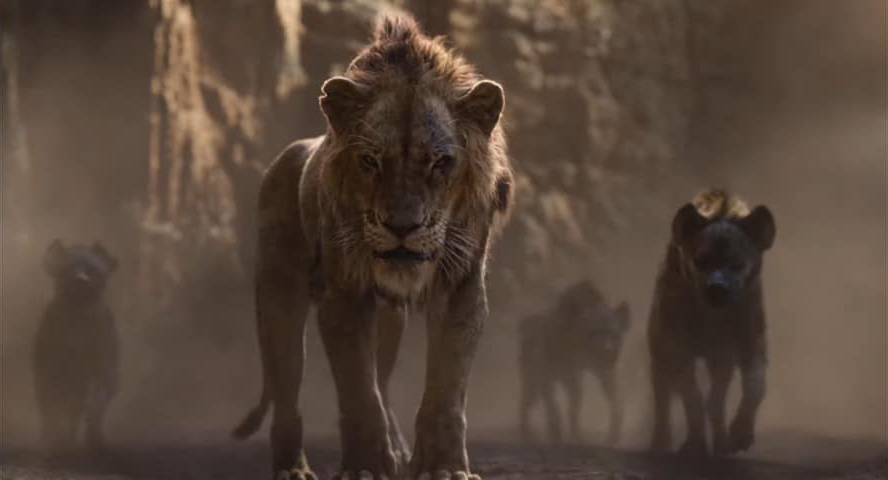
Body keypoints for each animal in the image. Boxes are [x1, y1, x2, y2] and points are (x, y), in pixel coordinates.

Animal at [34, 240, 120, 452]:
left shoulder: (106, 372)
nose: (80, 280)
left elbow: (95, 407)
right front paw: (55, 438)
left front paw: (94, 438)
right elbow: (52, 409)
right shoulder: (48, 372)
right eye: (67, 269)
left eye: (93, 270)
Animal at [231, 14, 513, 480]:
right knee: (288, 392)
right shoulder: (343, 293)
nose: (402, 226)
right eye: (370, 161)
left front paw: (442, 467)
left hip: (389, 322)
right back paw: (293, 468)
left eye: (441, 162)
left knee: (381, 378)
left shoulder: (461, 287)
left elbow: (445, 390)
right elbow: (358, 391)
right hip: (278, 298)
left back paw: (398, 451)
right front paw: (365, 468)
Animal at [518, 279, 630, 446]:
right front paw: (556, 434)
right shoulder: (545, 374)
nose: (607, 351)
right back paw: (526, 433)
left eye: (615, 335)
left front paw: (609, 436)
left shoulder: (591, 375)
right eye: (594, 332)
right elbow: (553, 407)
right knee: (525, 403)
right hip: (531, 379)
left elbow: (612, 402)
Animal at [647, 189, 776, 456]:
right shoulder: (679, 348)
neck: (712, 317)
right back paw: (660, 444)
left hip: (720, 361)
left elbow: (755, 386)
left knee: (716, 398)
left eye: (737, 264)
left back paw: (722, 443)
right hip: (660, 353)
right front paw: (694, 446)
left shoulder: (747, 343)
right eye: (700, 261)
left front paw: (740, 434)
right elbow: (691, 397)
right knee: (662, 396)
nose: (717, 287)